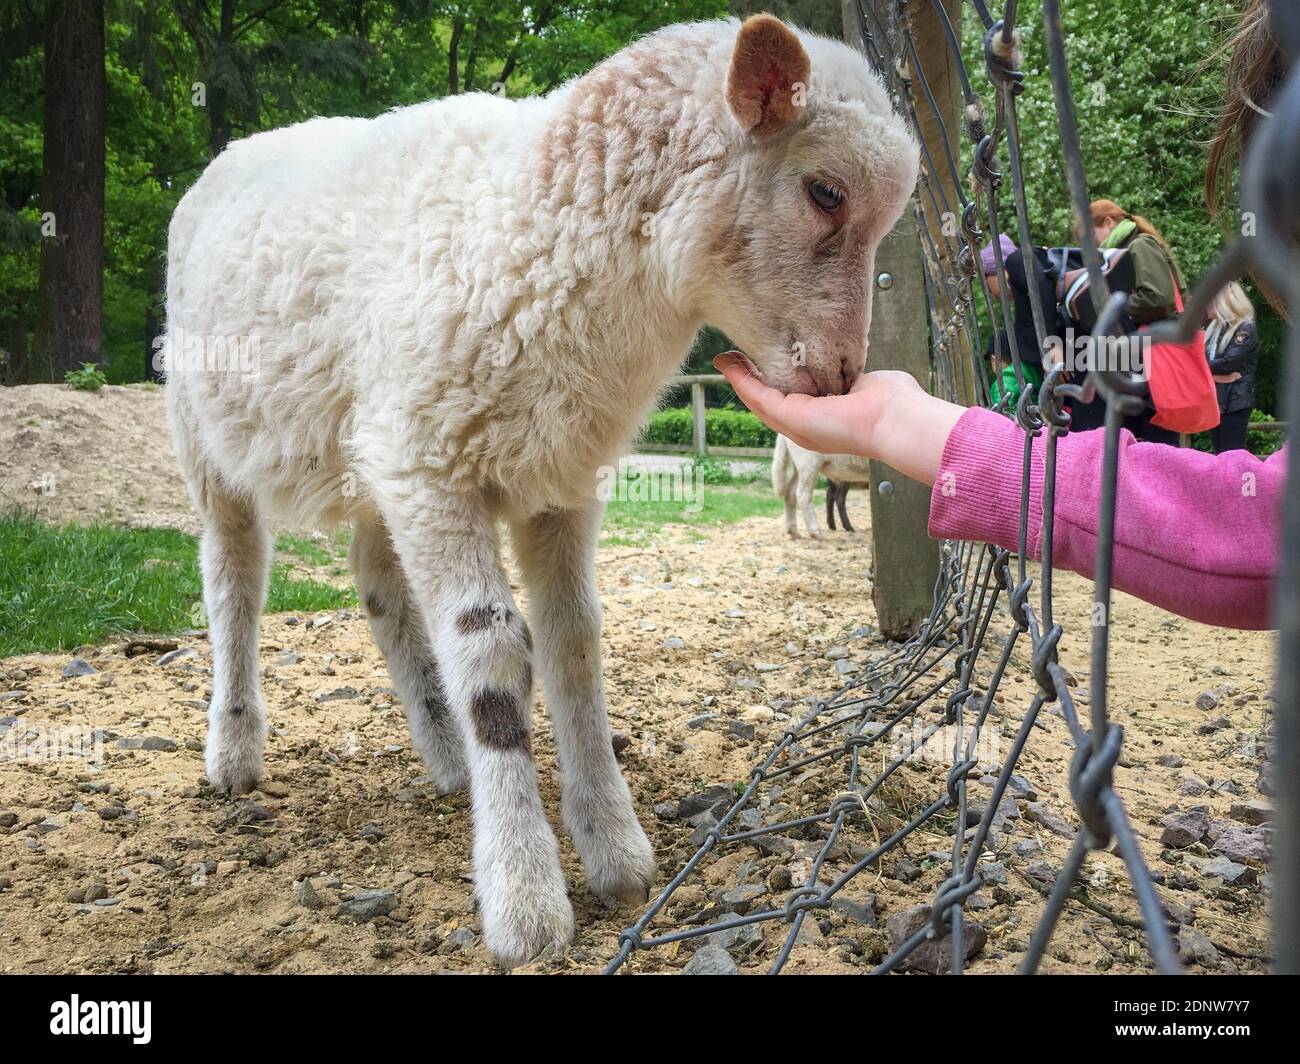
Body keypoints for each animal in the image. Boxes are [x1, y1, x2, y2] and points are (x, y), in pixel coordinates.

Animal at [163, 14, 918, 967]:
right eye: (825, 191)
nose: (839, 379)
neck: (533, 224)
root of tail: (234, 151)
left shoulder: (555, 477)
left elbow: (573, 644)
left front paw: (615, 849)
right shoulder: (435, 468)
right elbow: (492, 659)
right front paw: (525, 899)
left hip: (375, 454)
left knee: (380, 583)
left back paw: (444, 751)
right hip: (209, 432)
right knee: (234, 579)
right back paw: (235, 748)